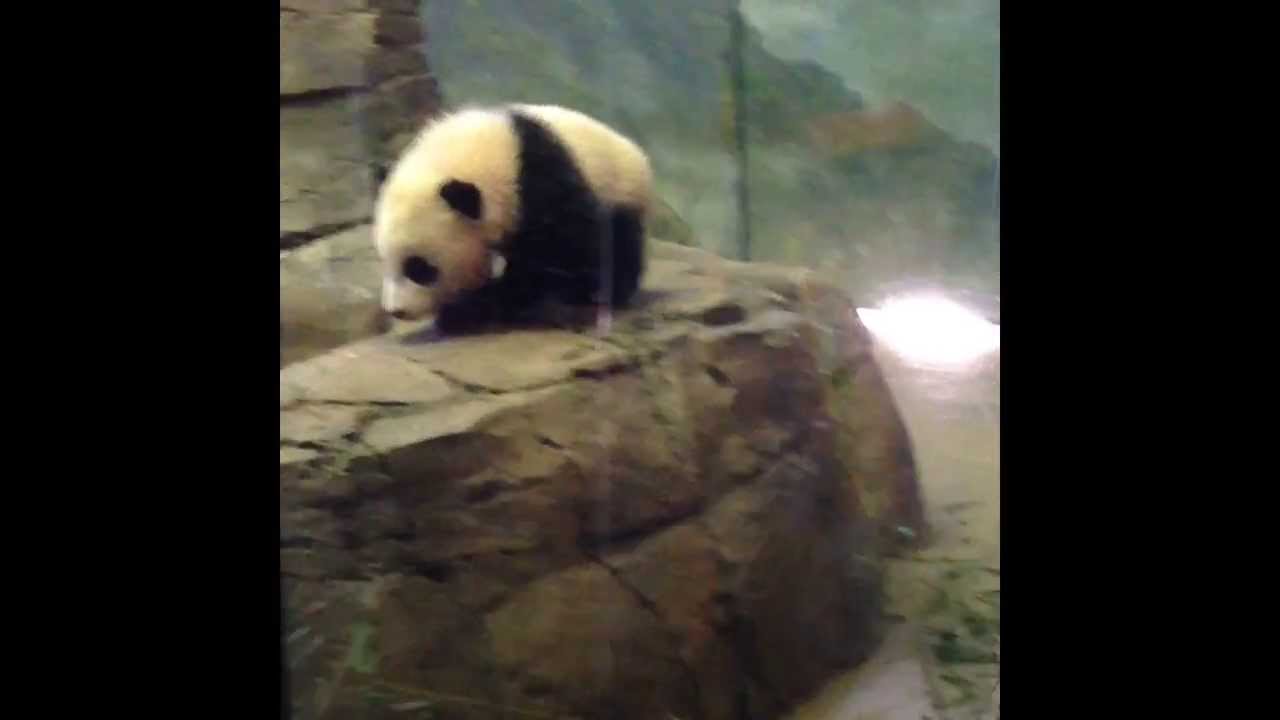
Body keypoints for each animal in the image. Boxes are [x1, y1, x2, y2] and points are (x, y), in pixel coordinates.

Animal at [373, 102, 654, 335]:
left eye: (419, 268)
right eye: (385, 260)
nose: (396, 311)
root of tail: (637, 154)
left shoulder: (541, 183)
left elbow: (564, 251)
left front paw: (480, 306)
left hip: (619, 190)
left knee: (619, 243)